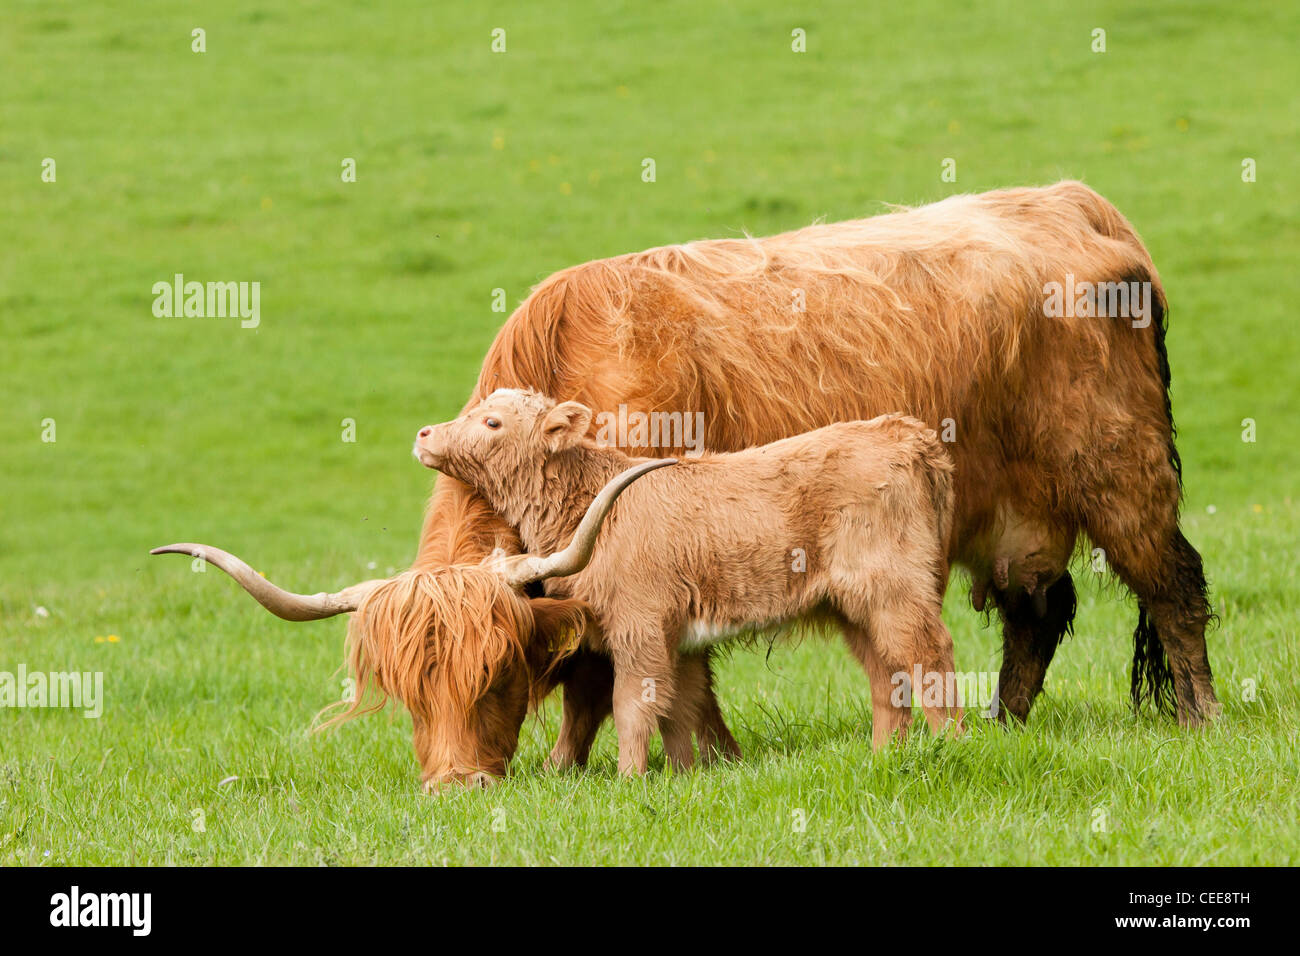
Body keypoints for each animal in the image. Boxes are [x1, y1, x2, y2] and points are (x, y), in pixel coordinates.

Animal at [413, 389, 962, 774]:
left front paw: (629, 780)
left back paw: (954, 746)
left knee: (928, 658)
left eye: (492, 421)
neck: (591, 504)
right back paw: (884, 757)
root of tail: (906, 432)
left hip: (897, 591)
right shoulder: (680, 641)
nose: (424, 434)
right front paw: (684, 775)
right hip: (856, 608)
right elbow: (682, 707)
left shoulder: (639, 629)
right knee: (886, 676)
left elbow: (633, 705)